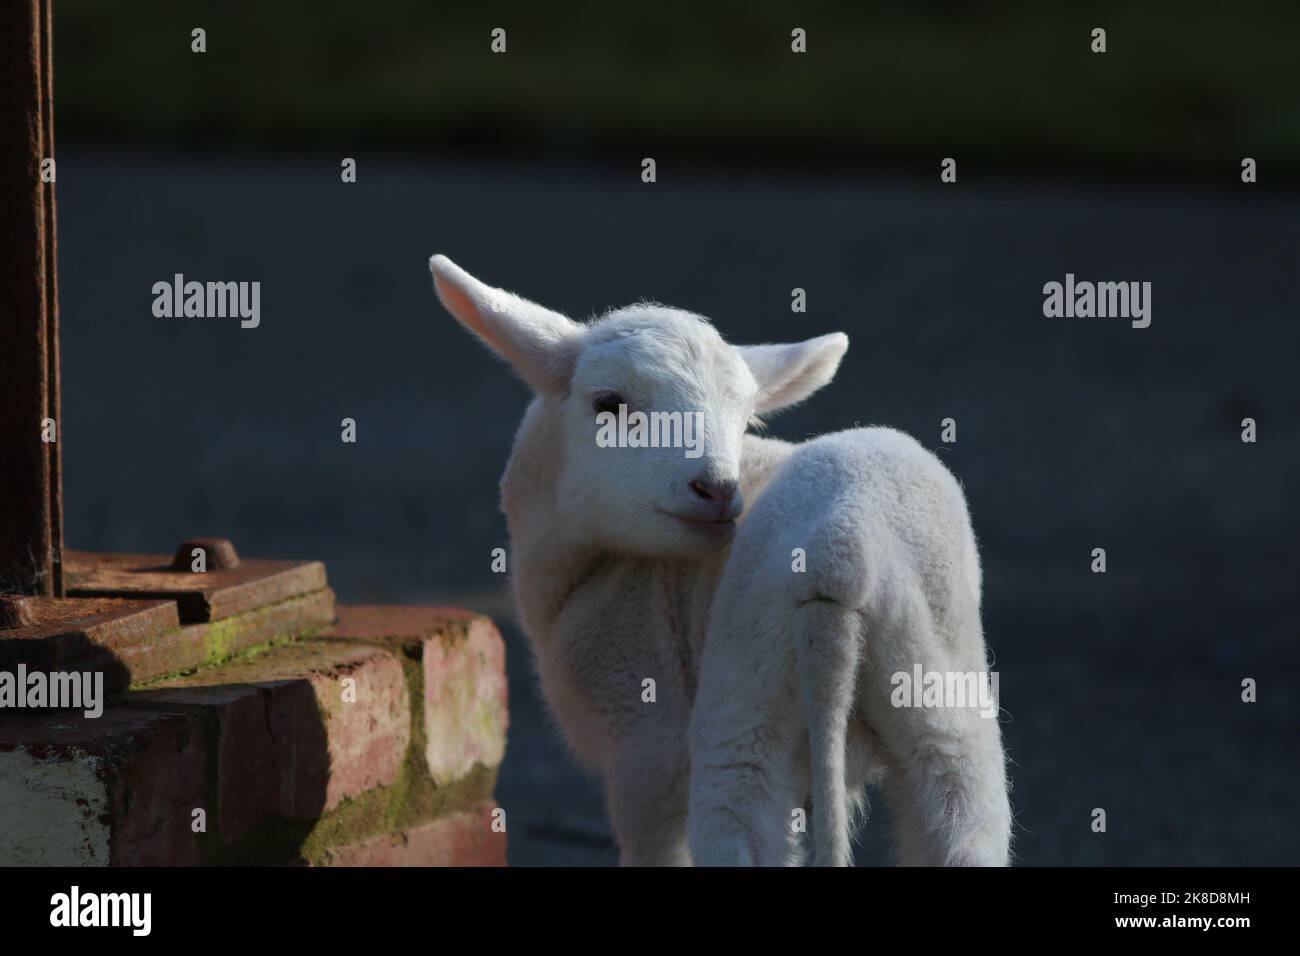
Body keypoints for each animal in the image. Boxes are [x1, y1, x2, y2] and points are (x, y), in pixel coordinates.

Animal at [429, 254, 1012, 866]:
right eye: (609, 404)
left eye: (745, 415)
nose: (718, 490)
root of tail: (844, 550)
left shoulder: (644, 739)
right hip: (939, 686)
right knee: (962, 815)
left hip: (743, 693)